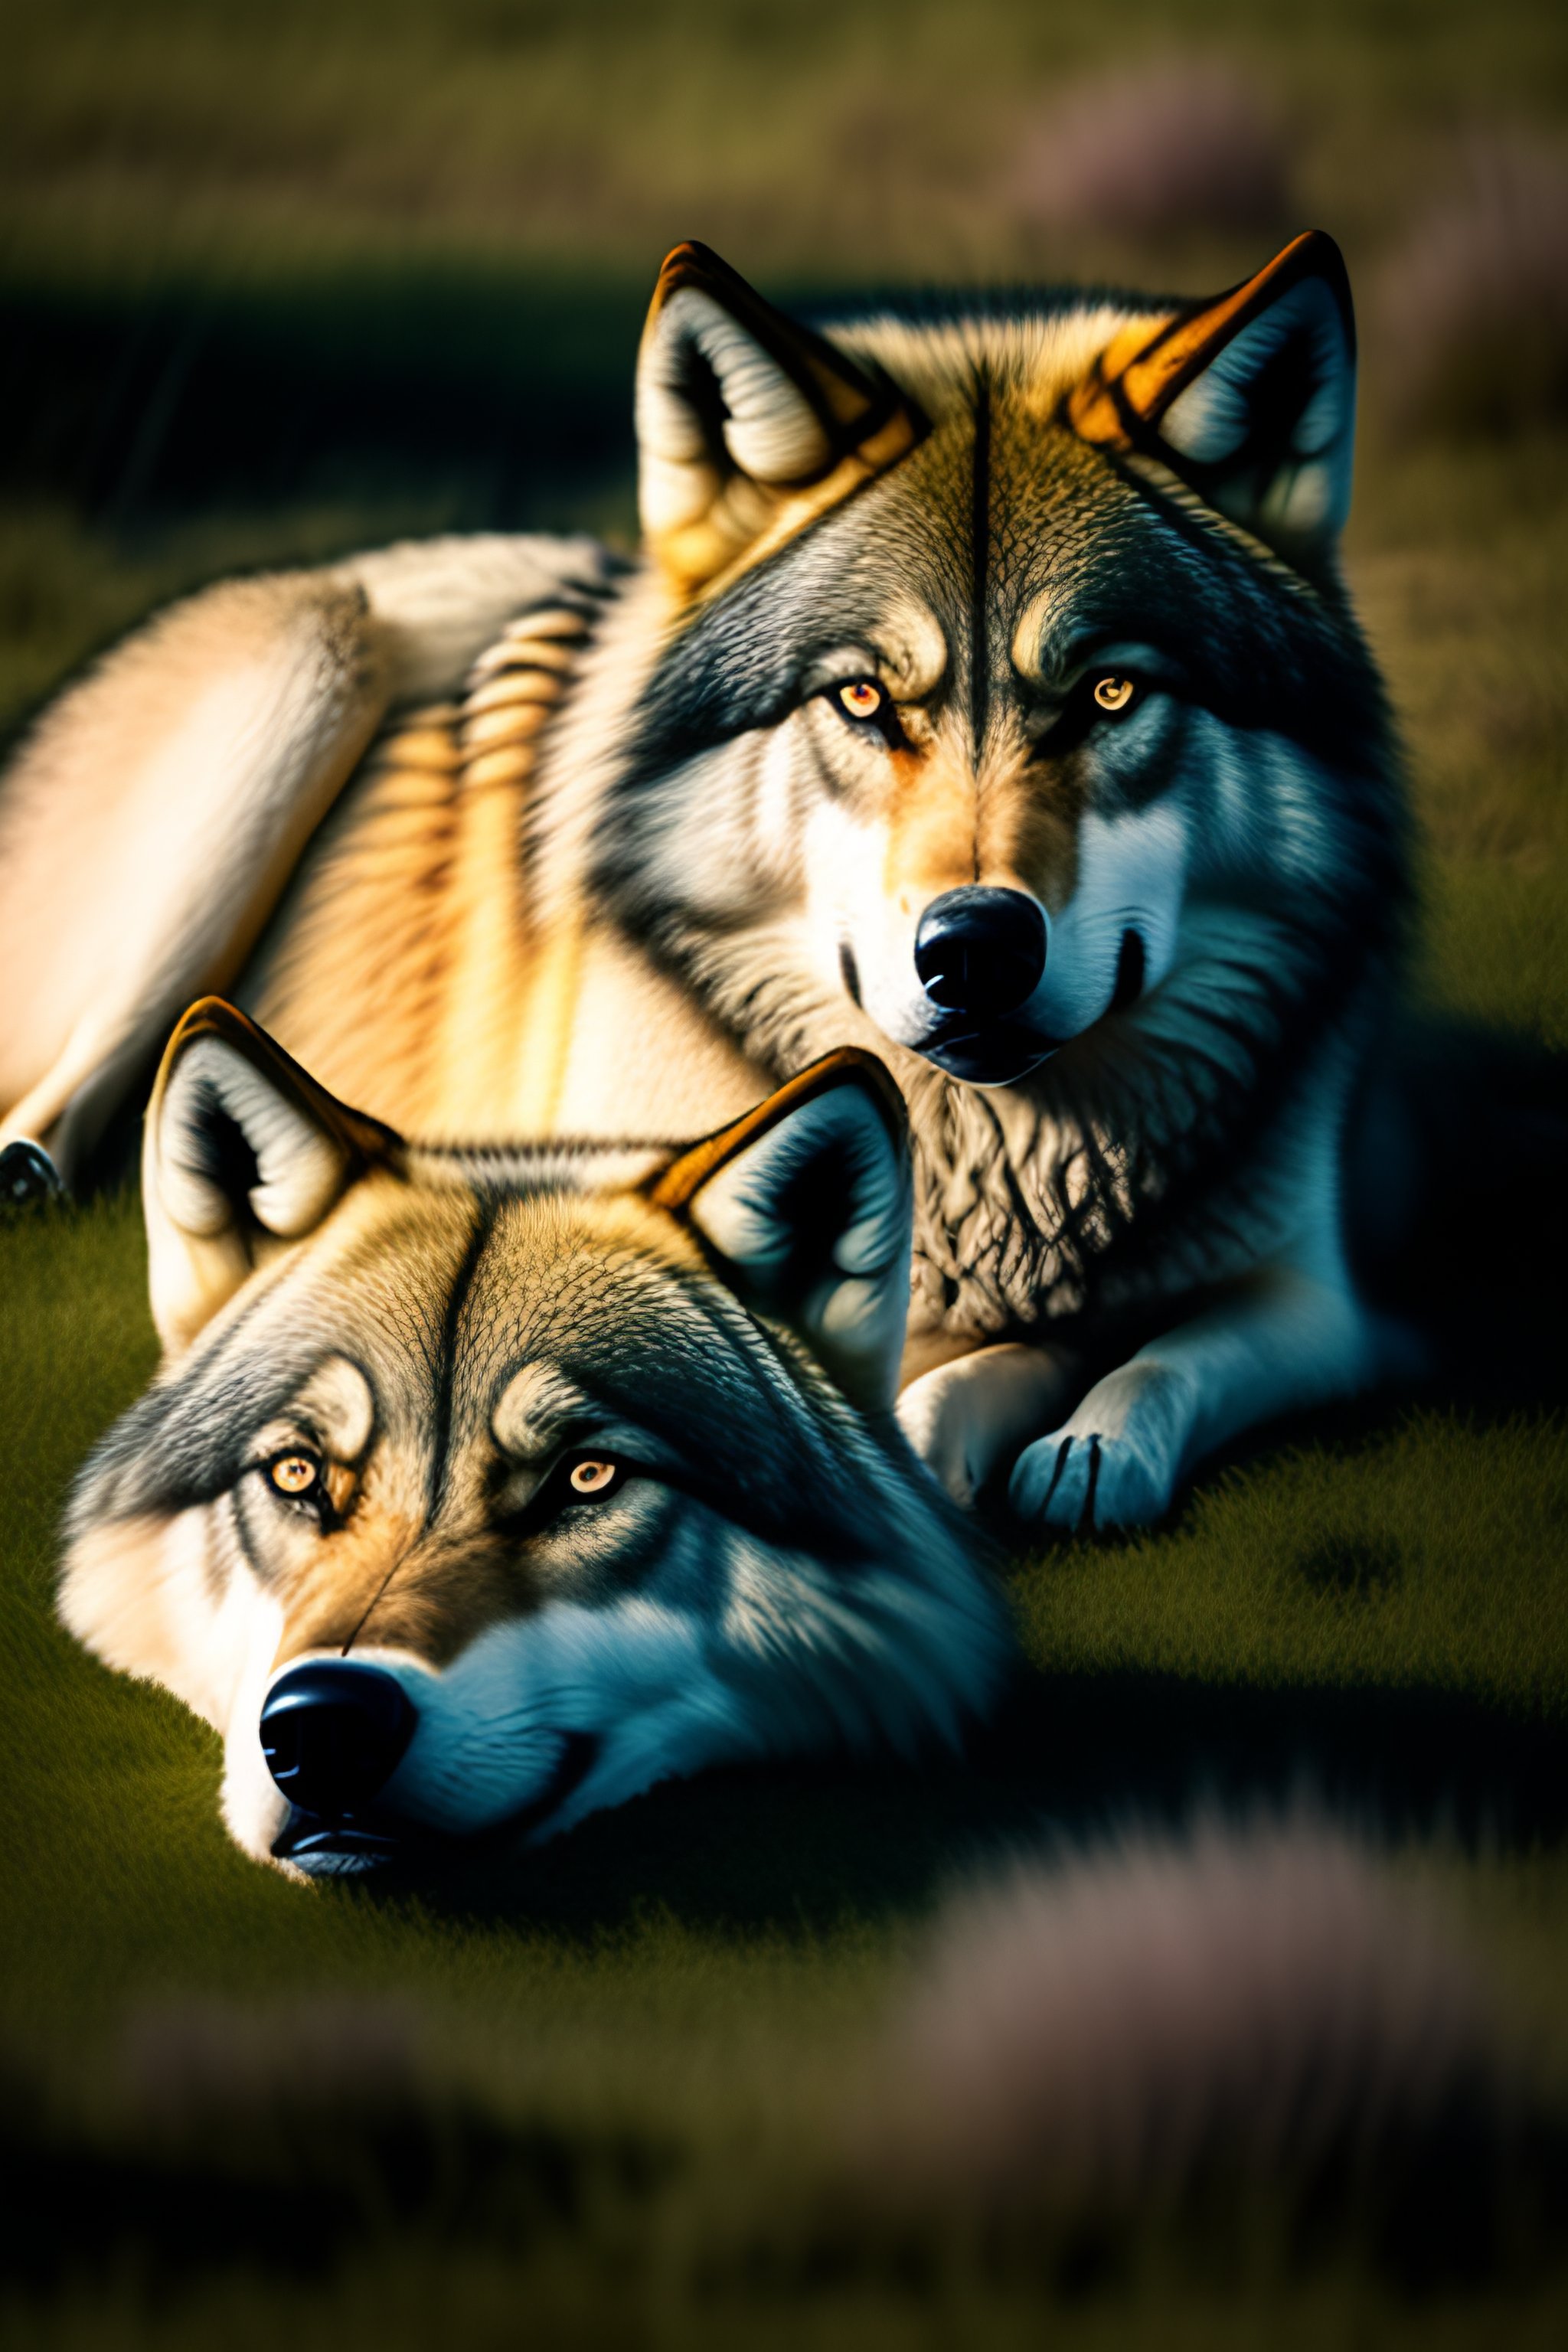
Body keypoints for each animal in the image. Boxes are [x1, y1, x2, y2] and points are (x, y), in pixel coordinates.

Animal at [4, 229, 1410, 1530]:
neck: (1004, 1165)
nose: (974, 948)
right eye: (862, 699)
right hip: (305, 679)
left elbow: (1165, 1353)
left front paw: (1088, 1443)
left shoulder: (1321, 1303)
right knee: (66, 1101)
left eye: (1111, 693)